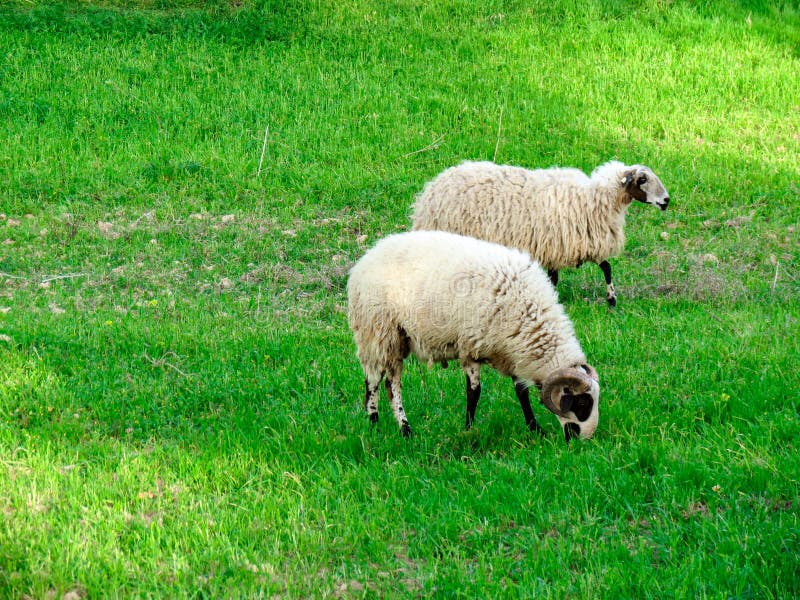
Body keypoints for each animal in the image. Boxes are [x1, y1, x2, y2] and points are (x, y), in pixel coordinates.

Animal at [347, 230, 600, 443]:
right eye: (581, 402)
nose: (585, 439)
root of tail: (368, 256)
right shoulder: (471, 347)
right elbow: (474, 392)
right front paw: (468, 429)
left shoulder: (512, 350)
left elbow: (521, 392)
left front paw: (535, 428)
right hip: (380, 332)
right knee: (386, 383)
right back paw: (399, 428)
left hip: (392, 338)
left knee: (376, 380)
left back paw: (376, 425)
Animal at [411, 160, 671, 307]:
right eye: (642, 179)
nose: (667, 200)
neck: (594, 199)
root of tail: (431, 193)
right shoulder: (564, 244)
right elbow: (603, 267)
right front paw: (611, 299)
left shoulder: (566, 247)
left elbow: (602, 267)